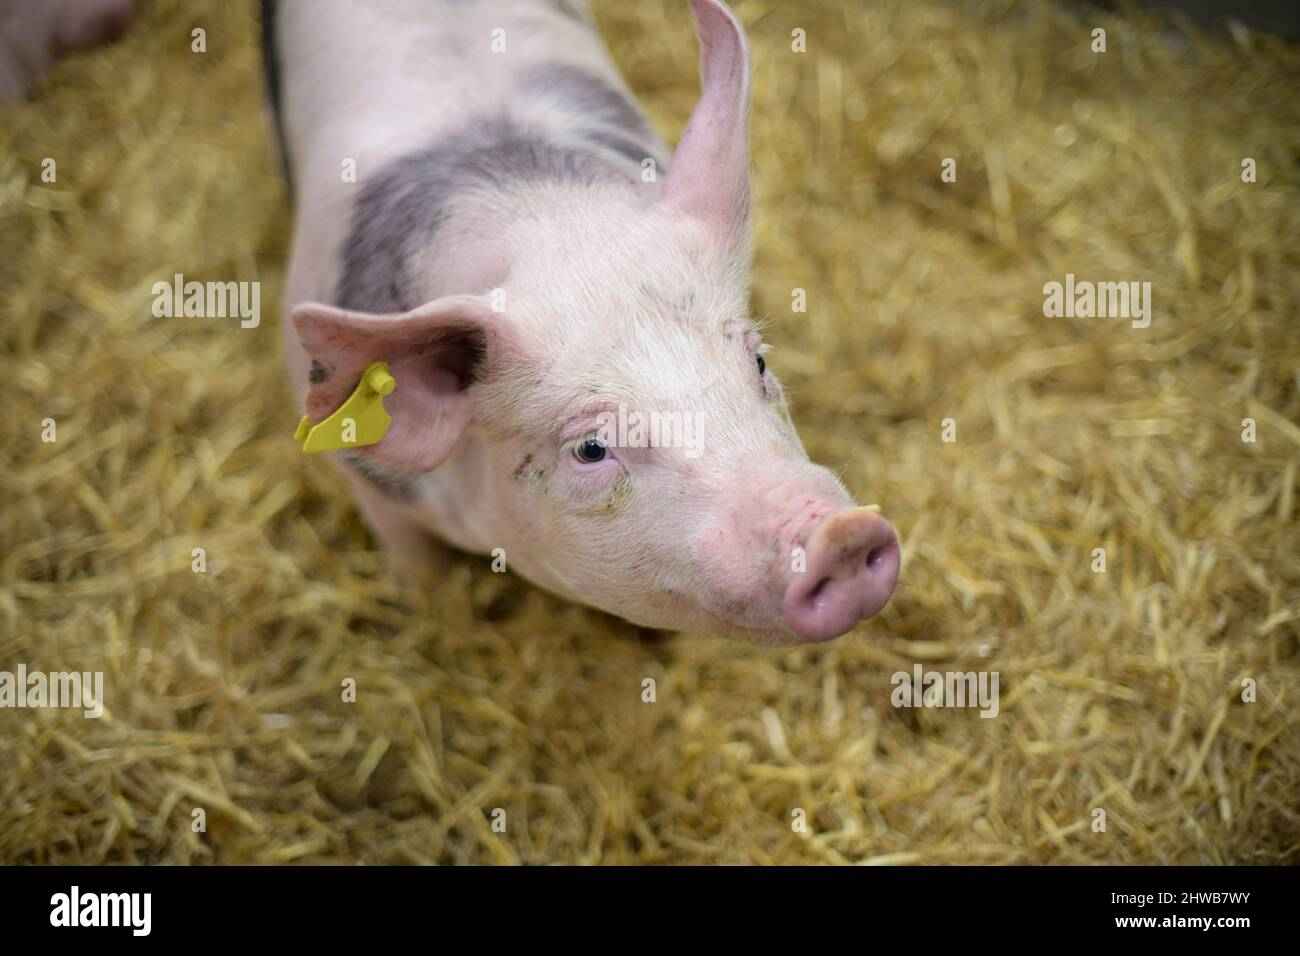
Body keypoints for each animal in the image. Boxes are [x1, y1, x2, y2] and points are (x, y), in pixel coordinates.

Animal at [268, 0, 901, 644]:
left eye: (759, 361)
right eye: (592, 449)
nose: (844, 536)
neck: (537, 214)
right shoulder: (369, 485)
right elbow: (419, 569)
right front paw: (429, 616)